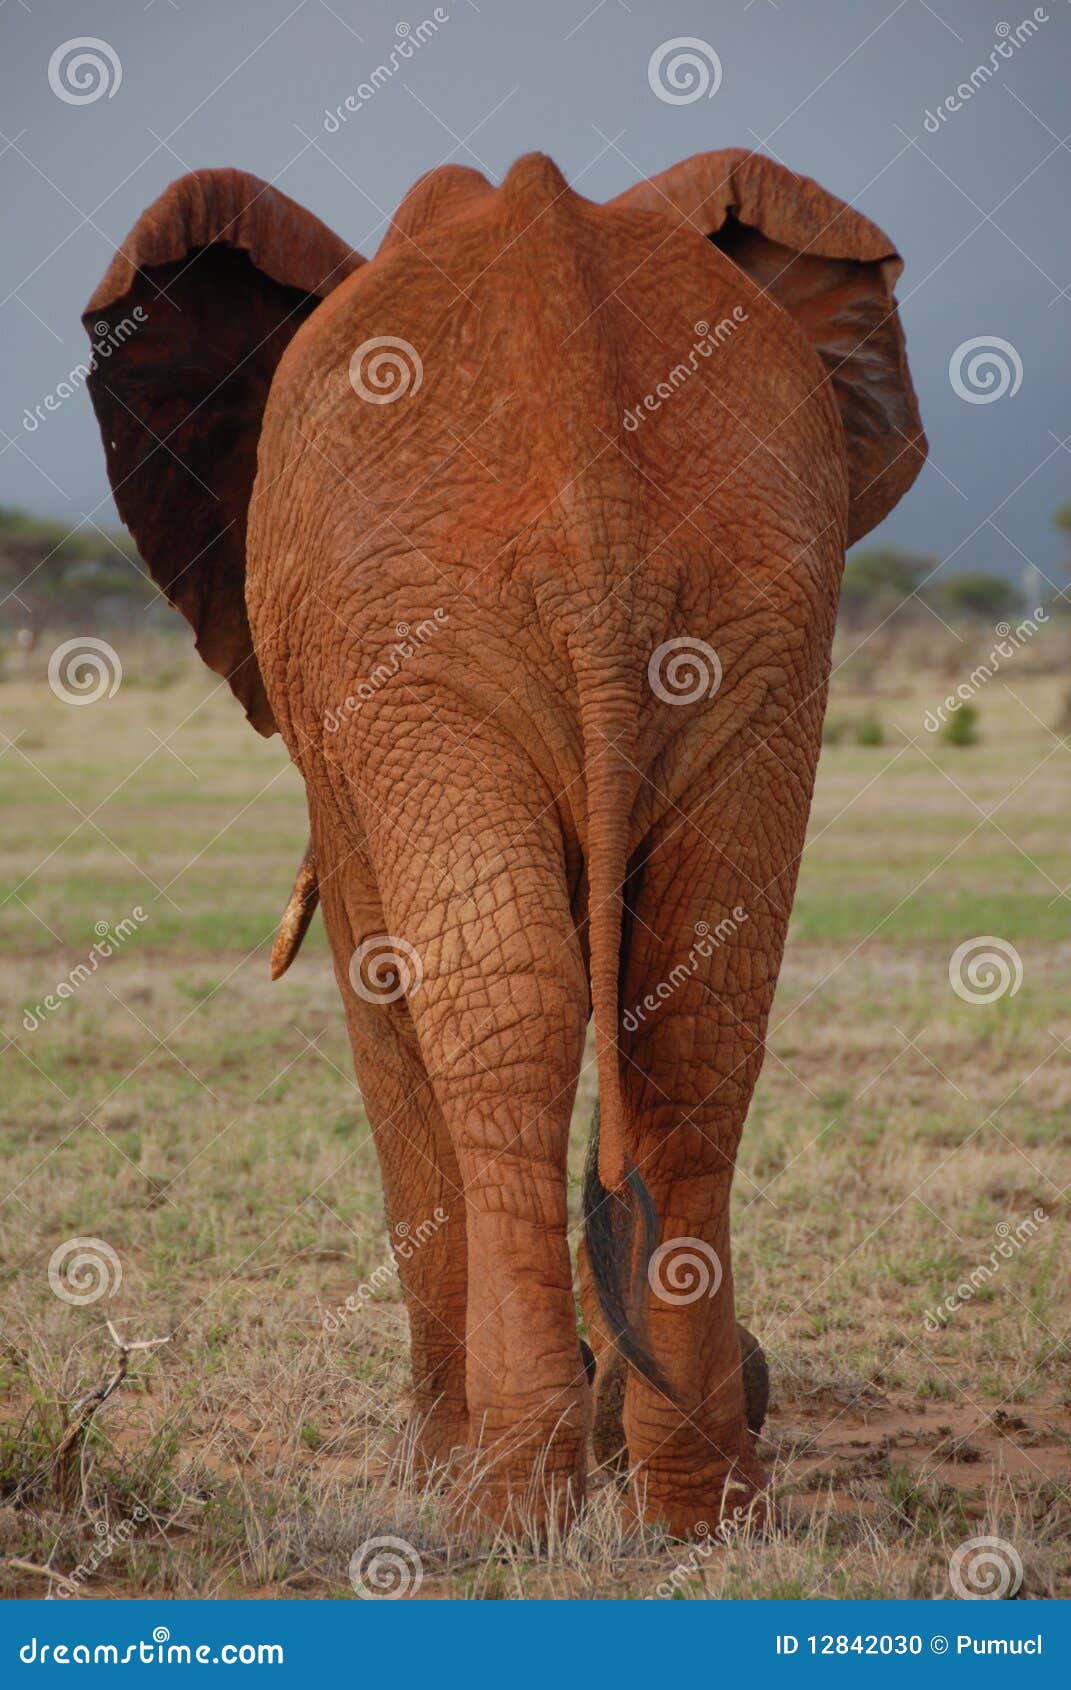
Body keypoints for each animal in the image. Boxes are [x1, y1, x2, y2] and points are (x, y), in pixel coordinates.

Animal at [82, 148, 925, 1541]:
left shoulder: (355, 707)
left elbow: (380, 992)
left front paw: (429, 1466)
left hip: (424, 642)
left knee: (495, 1007)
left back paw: (498, 1507)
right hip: (760, 616)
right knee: (695, 1019)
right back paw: (700, 1505)